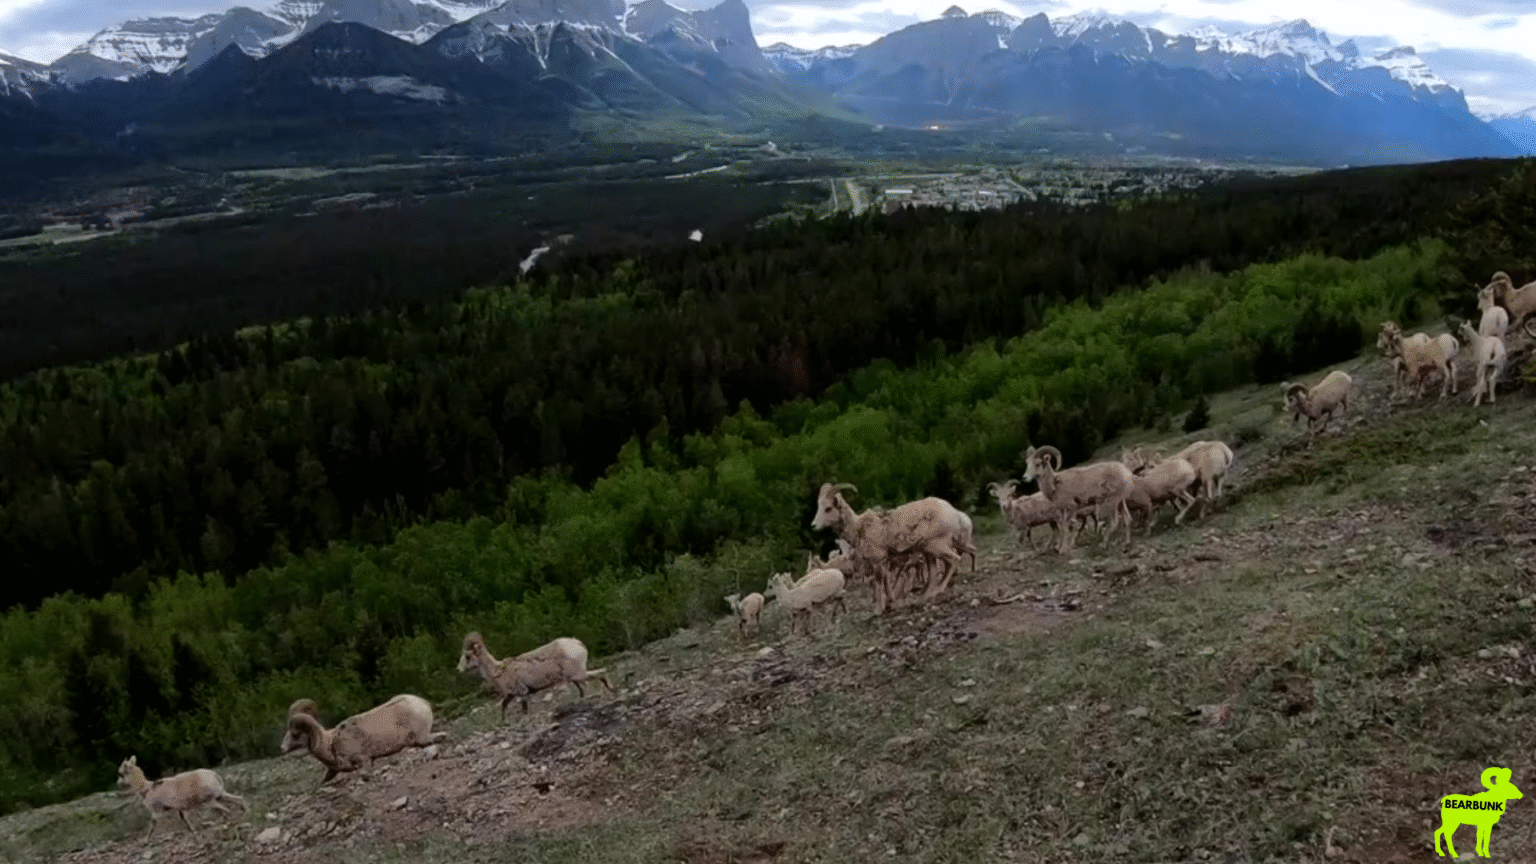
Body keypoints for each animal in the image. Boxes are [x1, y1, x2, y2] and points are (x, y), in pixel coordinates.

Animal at [116, 755, 247, 839]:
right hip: (220, 795)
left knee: (226, 809)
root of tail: (213, 775)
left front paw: (146, 841)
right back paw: (244, 813)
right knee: (238, 799)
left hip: (209, 802)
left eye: (121, 773)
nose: (118, 783)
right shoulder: (179, 810)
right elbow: (185, 820)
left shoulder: (158, 811)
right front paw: (193, 832)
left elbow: (152, 823)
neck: (147, 788)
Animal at [281, 694, 446, 784]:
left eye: (295, 734)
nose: (281, 748)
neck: (331, 744)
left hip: (421, 738)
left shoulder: (363, 760)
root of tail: (423, 703)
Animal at [457, 632, 614, 721]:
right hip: (575, 678)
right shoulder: (511, 695)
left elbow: (524, 710)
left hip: (578, 675)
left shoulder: (522, 693)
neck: (499, 671)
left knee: (600, 673)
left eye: (468, 656)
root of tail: (577, 643)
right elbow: (503, 706)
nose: (458, 669)